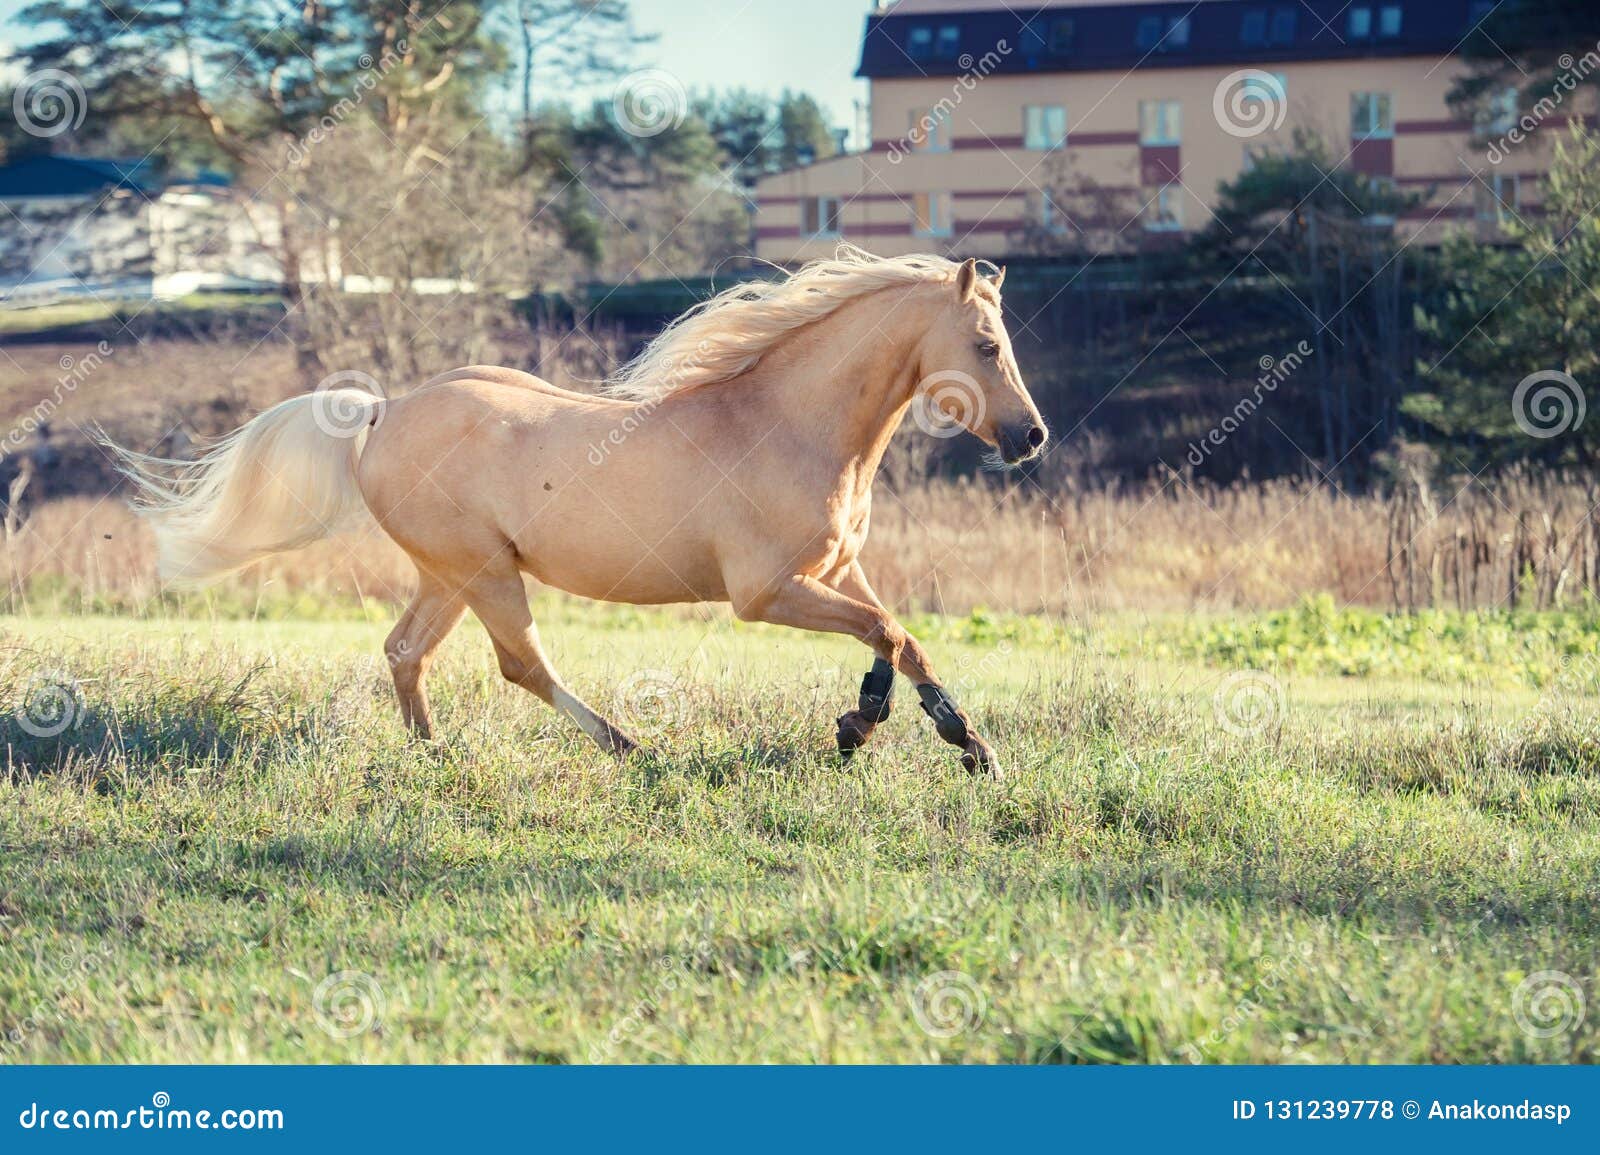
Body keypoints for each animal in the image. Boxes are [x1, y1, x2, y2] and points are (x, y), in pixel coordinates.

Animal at [112, 247, 1048, 774]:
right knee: (521, 665)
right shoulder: (765, 593)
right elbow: (888, 632)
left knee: (406, 651)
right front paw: (882, 729)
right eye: (986, 344)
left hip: (449, 575)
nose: (1031, 436)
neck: (789, 422)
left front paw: (950, 741)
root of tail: (380, 412)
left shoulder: (835, 569)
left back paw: (432, 752)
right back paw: (628, 747)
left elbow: (898, 633)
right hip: (484, 573)